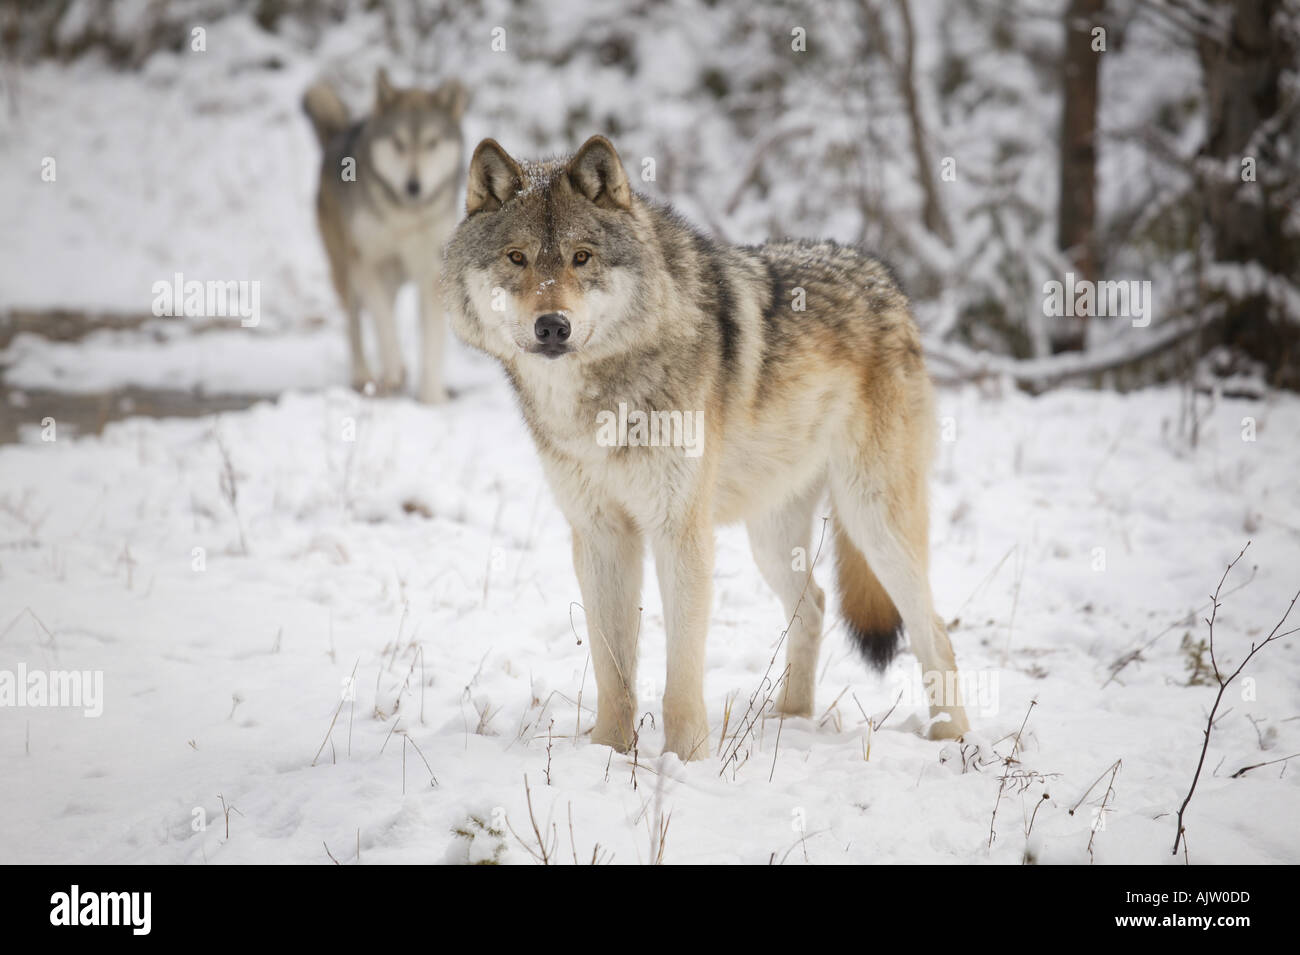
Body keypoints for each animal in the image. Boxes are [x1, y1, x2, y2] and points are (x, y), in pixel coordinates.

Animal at [303, 68, 466, 402]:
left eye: (432, 143)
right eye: (398, 143)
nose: (413, 186)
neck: (404, 215)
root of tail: (339, 133)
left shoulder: (431, 273)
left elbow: (431, 343)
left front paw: (432, 397)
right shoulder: (365, 264)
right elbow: (383, 325)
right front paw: (392, 372)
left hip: (391, 278)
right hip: (346, 272)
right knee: (356, 325)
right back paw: (365, 376)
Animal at [443, 135, 971, 761]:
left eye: (582, 258)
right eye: (517, 258)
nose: (552, 326)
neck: (600, 398)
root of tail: (882, 275)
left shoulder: (679, 530)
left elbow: (680, 673)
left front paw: (686, 760)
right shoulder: (599, 535)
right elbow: (613, 671)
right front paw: (607, 751)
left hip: (874, 523)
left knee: (934, 628)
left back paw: (952, 737)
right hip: (772, 538)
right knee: (815, 604)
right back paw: (790, 719)